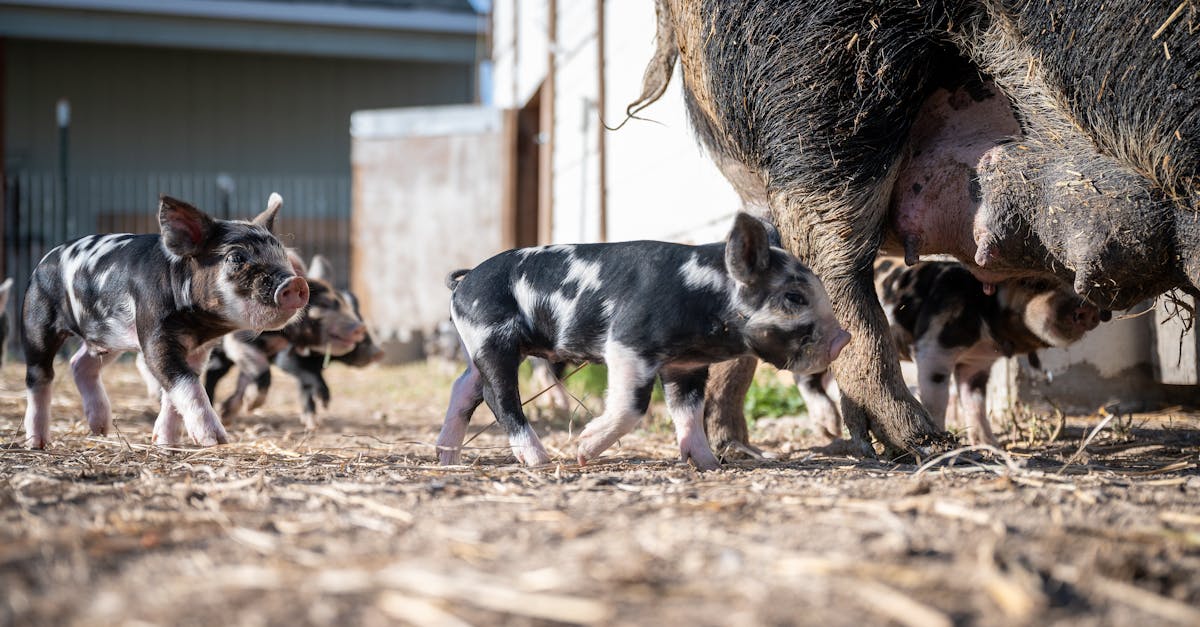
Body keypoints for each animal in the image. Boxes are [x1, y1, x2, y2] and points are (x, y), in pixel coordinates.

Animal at [21, 192, 309, 446]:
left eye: (282, 255)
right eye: (236, 257)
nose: (295, 283)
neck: (200, 327)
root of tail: (44, 260)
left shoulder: (199, 349)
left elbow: (178, 387)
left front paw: (165, 441)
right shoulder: (153, 333)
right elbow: (187, 383)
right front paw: (215, 440)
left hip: (108, 338)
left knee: (79, 363)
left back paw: (101, 429)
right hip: (38, 322)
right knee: (39, 376)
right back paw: (37, 443)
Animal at [436, 212, 849, 466]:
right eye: (793, 297)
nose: (843, 338)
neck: (703, 298)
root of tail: (464, 281)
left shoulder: (688, 365)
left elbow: (689, 411)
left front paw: (708, 465)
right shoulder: (627, 343)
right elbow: (632, 406)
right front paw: (583, 450)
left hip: (478, 347)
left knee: (463, 388)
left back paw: (448, 459)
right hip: (492, 338)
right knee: (499, 397)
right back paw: (541, 460)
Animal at [796, 257, 1104, 444]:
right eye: (1035, 283)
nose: (1088, 309)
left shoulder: (977, 364)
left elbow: (975, 403)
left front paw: (991, 445)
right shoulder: (933, 348)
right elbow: (937, 399)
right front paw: (942, 433)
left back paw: (831, 432)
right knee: (804, 377)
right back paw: (830, 427)